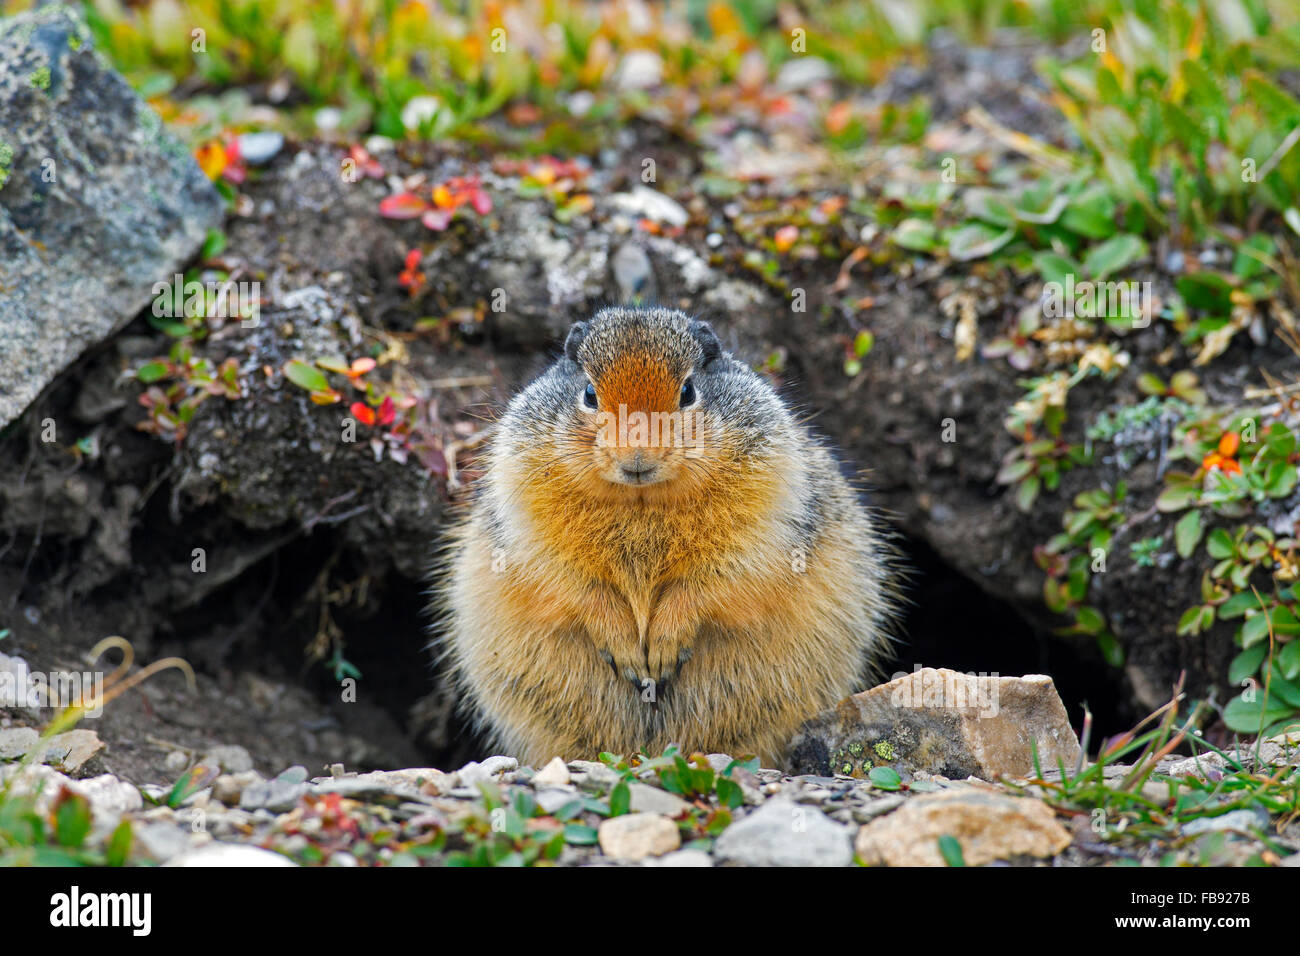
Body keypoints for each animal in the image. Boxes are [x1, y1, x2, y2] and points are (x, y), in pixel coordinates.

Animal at [436, 306, 897, 766]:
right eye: (589, 393)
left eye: (688, 391)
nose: (637, 457)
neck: (641, 502)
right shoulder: (531, 536)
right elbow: (578, 587)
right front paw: (629, 654)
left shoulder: (760, 533)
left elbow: (708, 586)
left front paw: (661, 652)